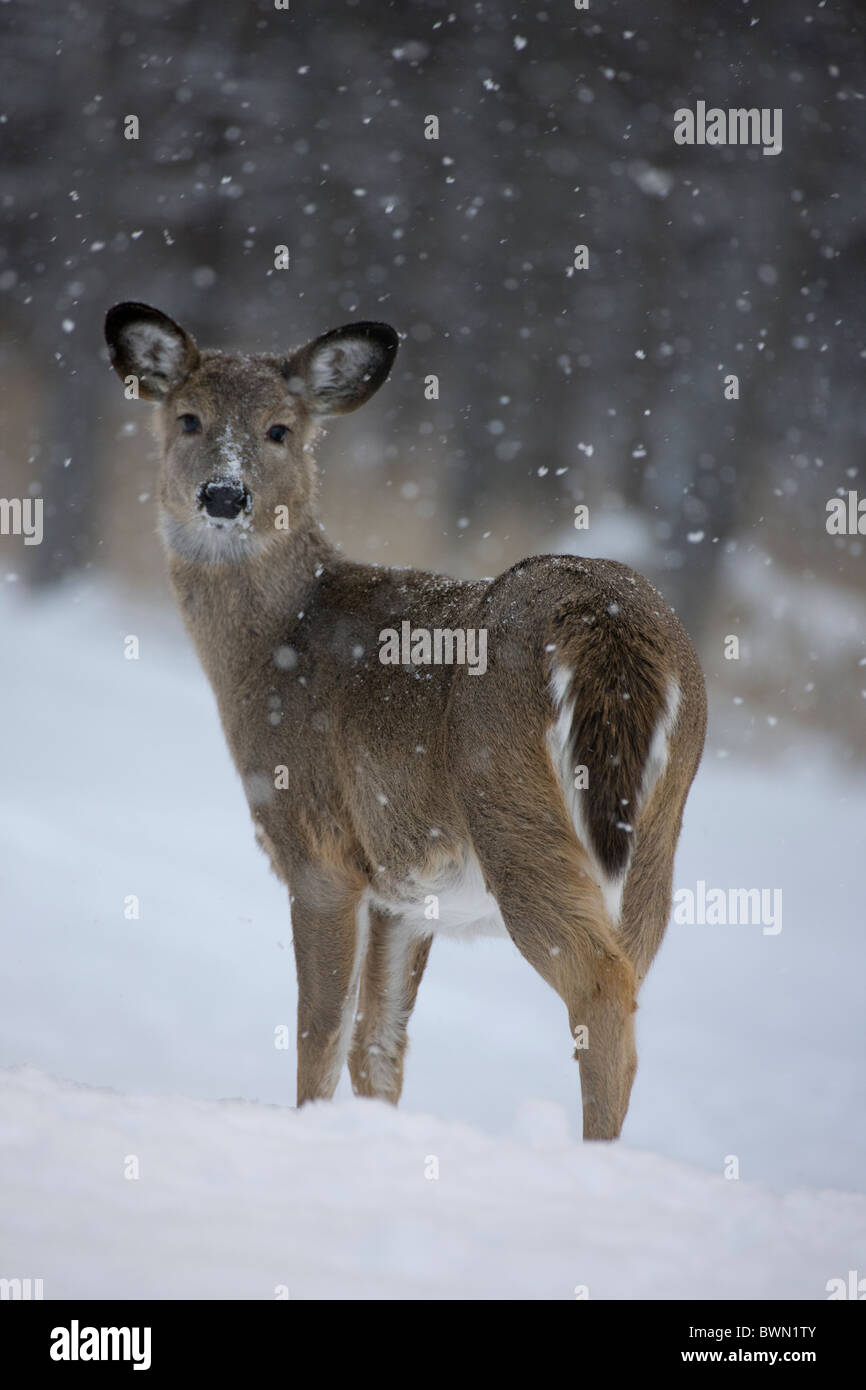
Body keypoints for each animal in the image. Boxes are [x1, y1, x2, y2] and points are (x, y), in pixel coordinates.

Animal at [104, 302, 706, 1140]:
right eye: (188, 418)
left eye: (280, 429)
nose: (224, 496)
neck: (277, 645)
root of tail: (605, 622)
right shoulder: (405, 891)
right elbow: (378, 1047)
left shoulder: (320, 848)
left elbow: (321, 1031)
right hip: (656, 835)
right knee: (631, 977)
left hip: (512, 810)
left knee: (600, 986)